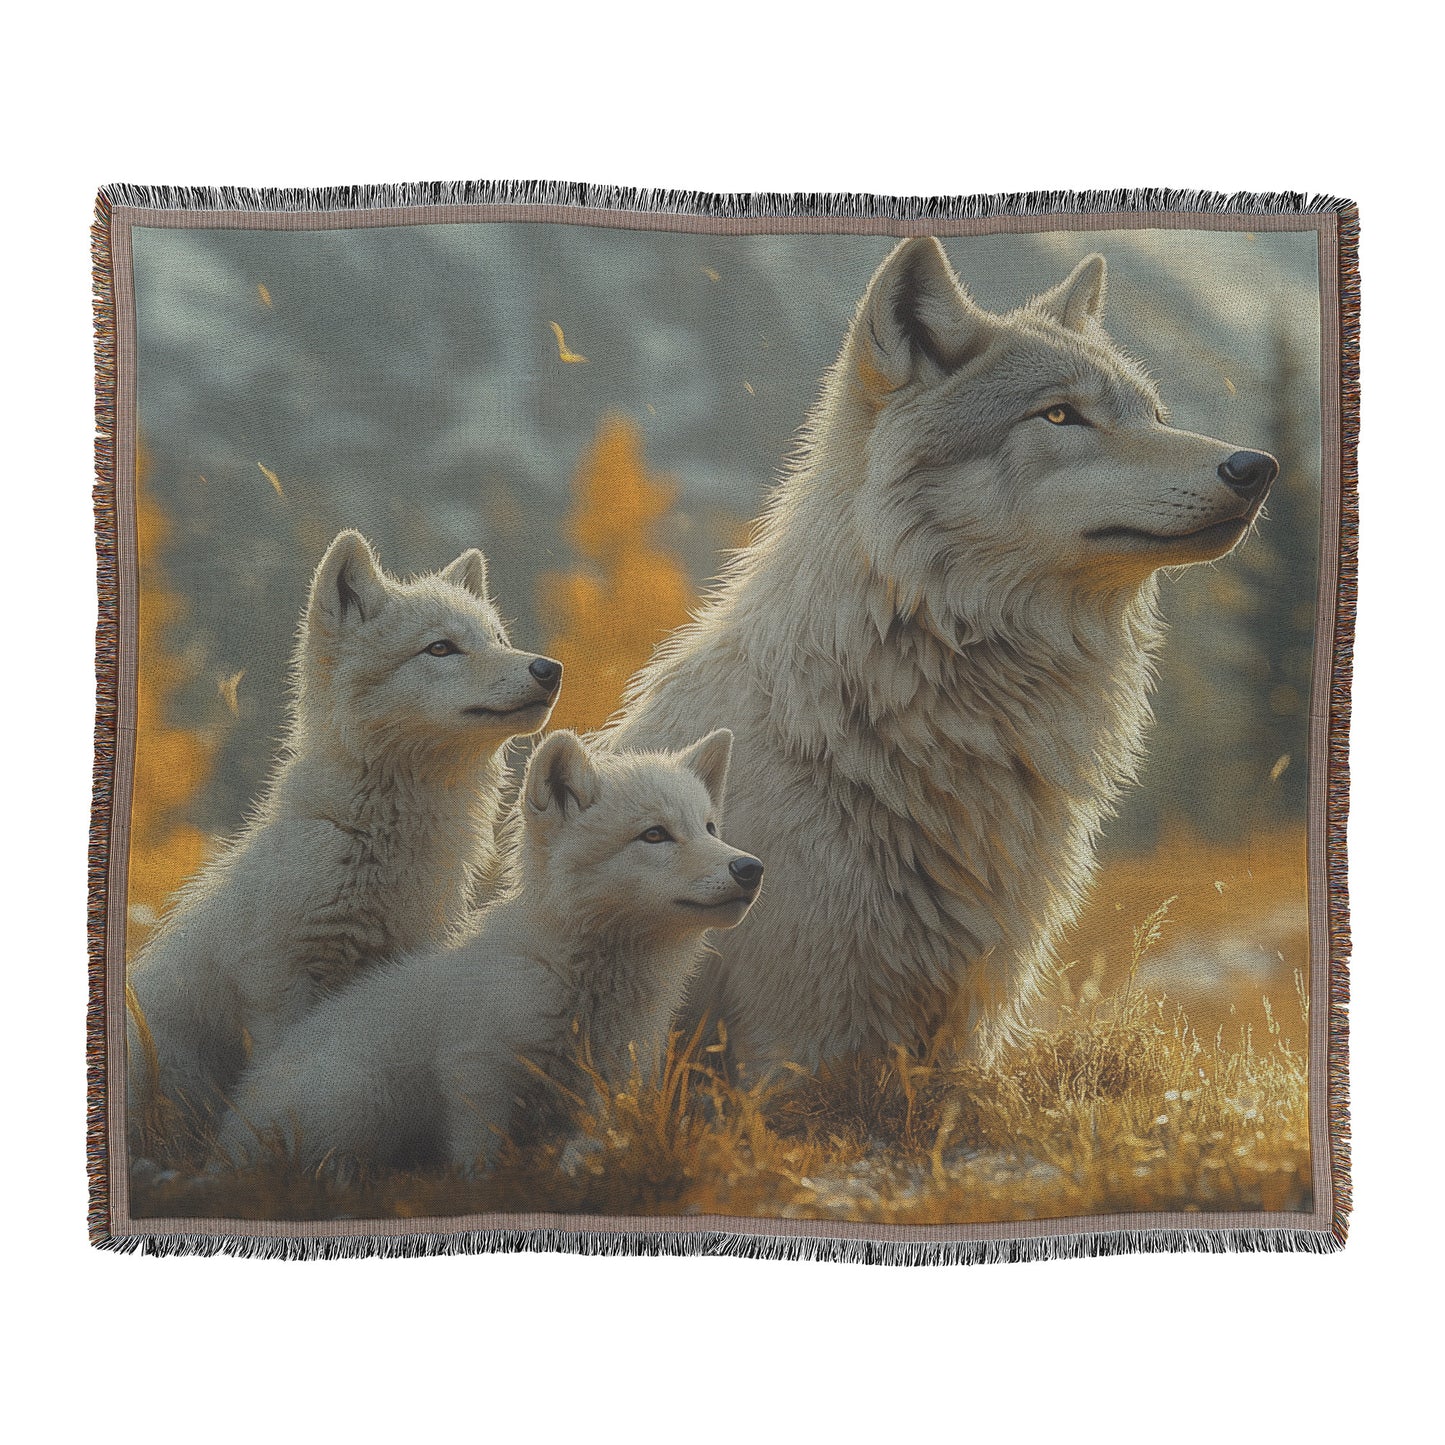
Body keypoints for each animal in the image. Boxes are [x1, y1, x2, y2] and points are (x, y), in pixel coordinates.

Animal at [128, 530, 564, 1146]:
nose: (549, 669)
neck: (375, 852)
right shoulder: (281, 984)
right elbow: (275, 1073)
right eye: (440, 649)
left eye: (499, 639)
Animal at [218, 728, 760, 1173]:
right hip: (364, 1096)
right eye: (654, 834)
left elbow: (576, 1158)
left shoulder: (596, 1092)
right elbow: (479, 1167)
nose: (749, 868)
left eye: (710, 829)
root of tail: (227, 1135)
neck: (577, 985)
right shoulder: (477, 1077)